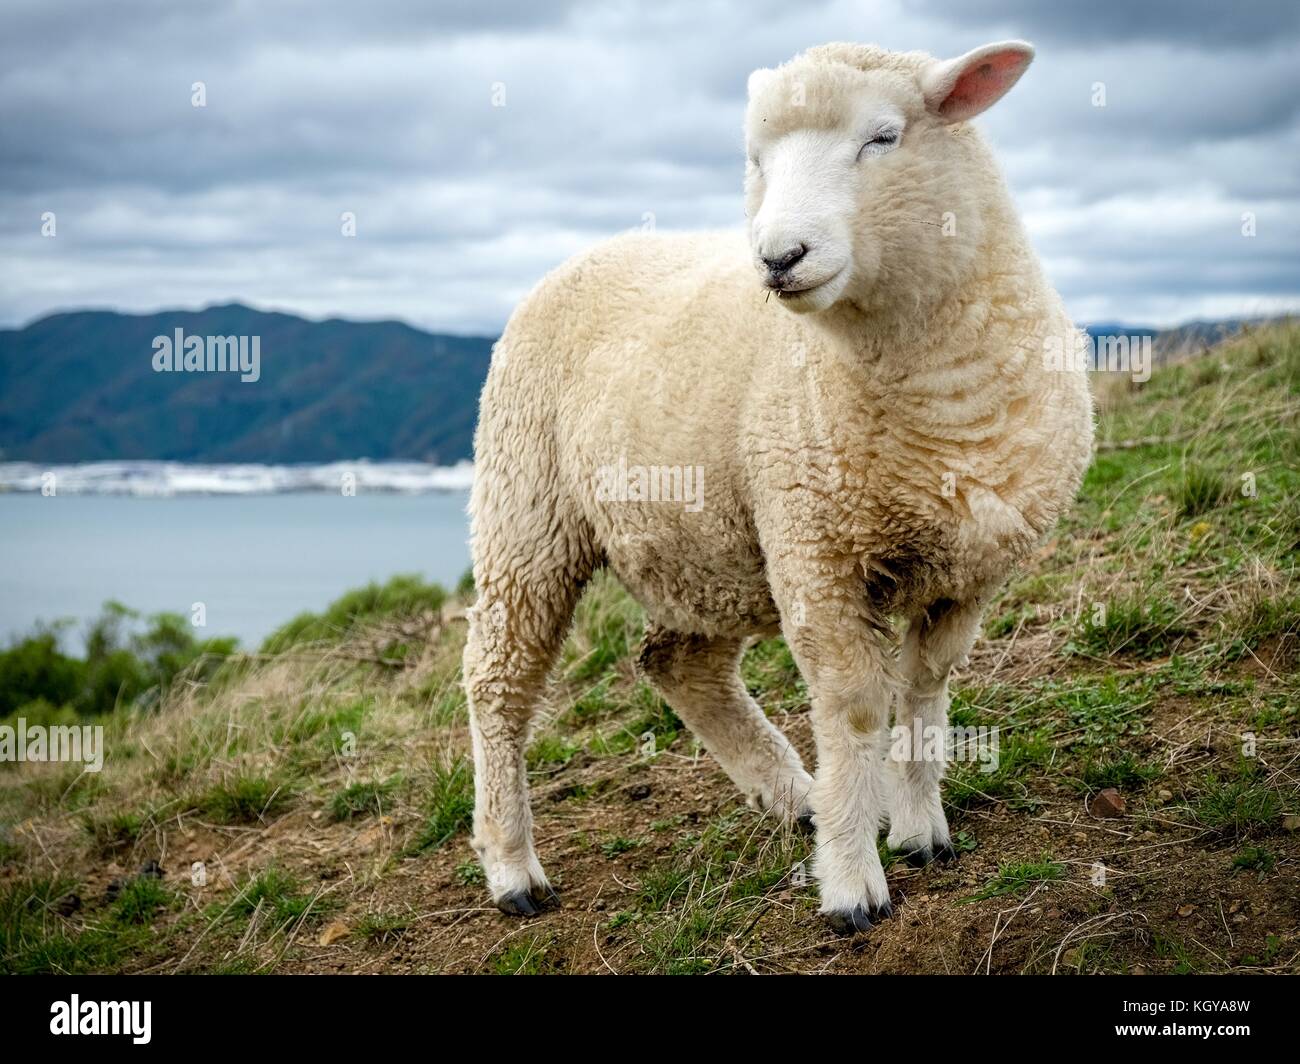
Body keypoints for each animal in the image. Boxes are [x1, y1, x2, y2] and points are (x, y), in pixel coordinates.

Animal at [463, 39, 1094, 932]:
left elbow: (925, 687)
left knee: (674, 661)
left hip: (705, 545)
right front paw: (852, 881)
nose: (778, 257)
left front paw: (916, 827)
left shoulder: (967, 574)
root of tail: (586, 252)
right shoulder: (814, 552)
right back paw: (513, 866)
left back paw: (795, 795)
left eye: (884, 137)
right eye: (756, 161)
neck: (938, 403)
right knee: (499, 679)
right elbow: (855, 704)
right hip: (527, 507)